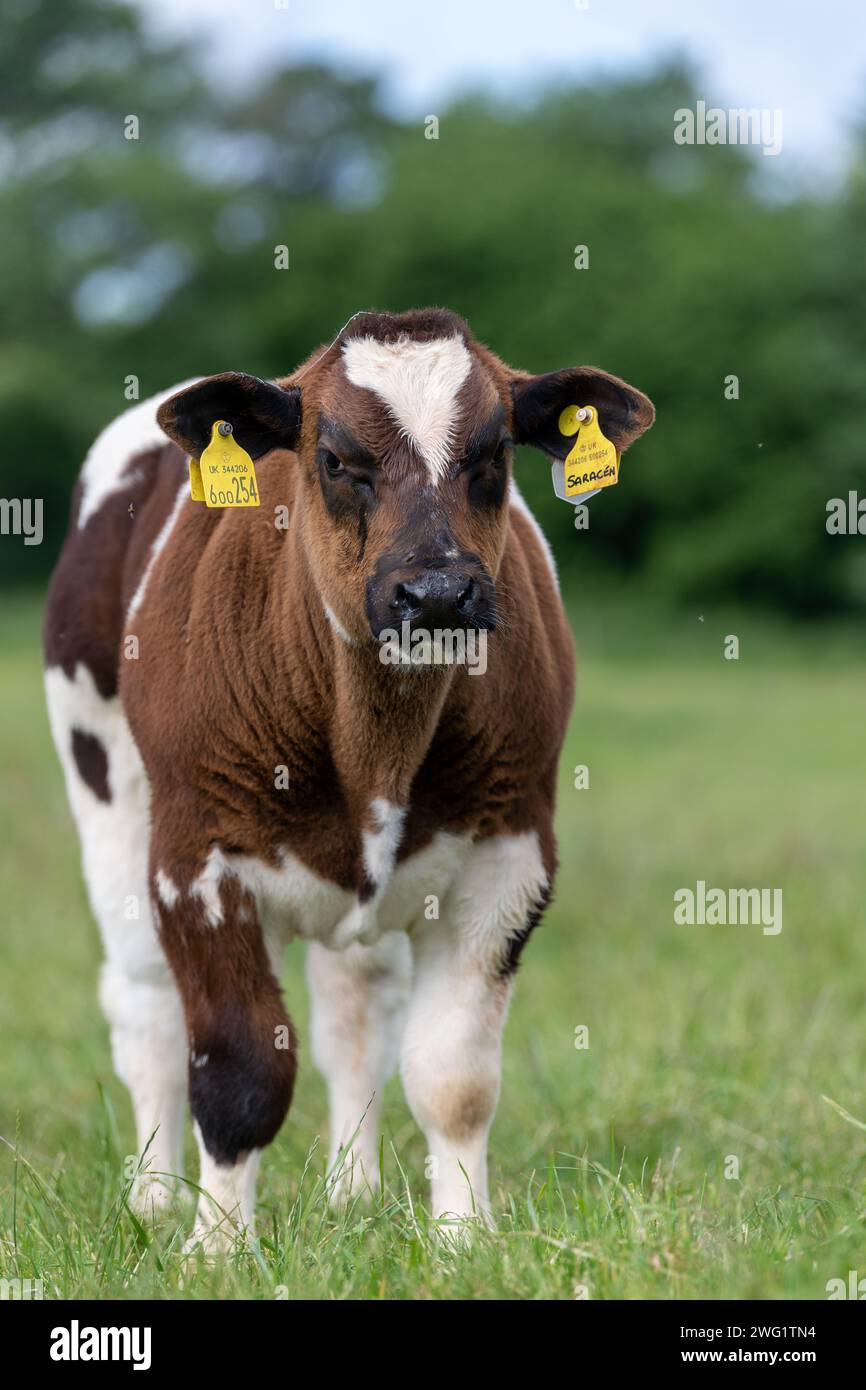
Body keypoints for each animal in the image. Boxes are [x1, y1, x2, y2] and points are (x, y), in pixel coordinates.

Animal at [44, 308, 654, 1248]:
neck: (375, 743)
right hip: (106, 794)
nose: (436, 592)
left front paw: (463, 1240)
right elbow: (240, 1070)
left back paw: (352, 1191)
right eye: (333, 458)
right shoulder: (194, 862)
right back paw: (152, 1196)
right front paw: (216, 1248)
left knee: (356, 1015)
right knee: (144, 1010)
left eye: (494, 453)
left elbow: (451, 1077)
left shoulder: (510, 855)